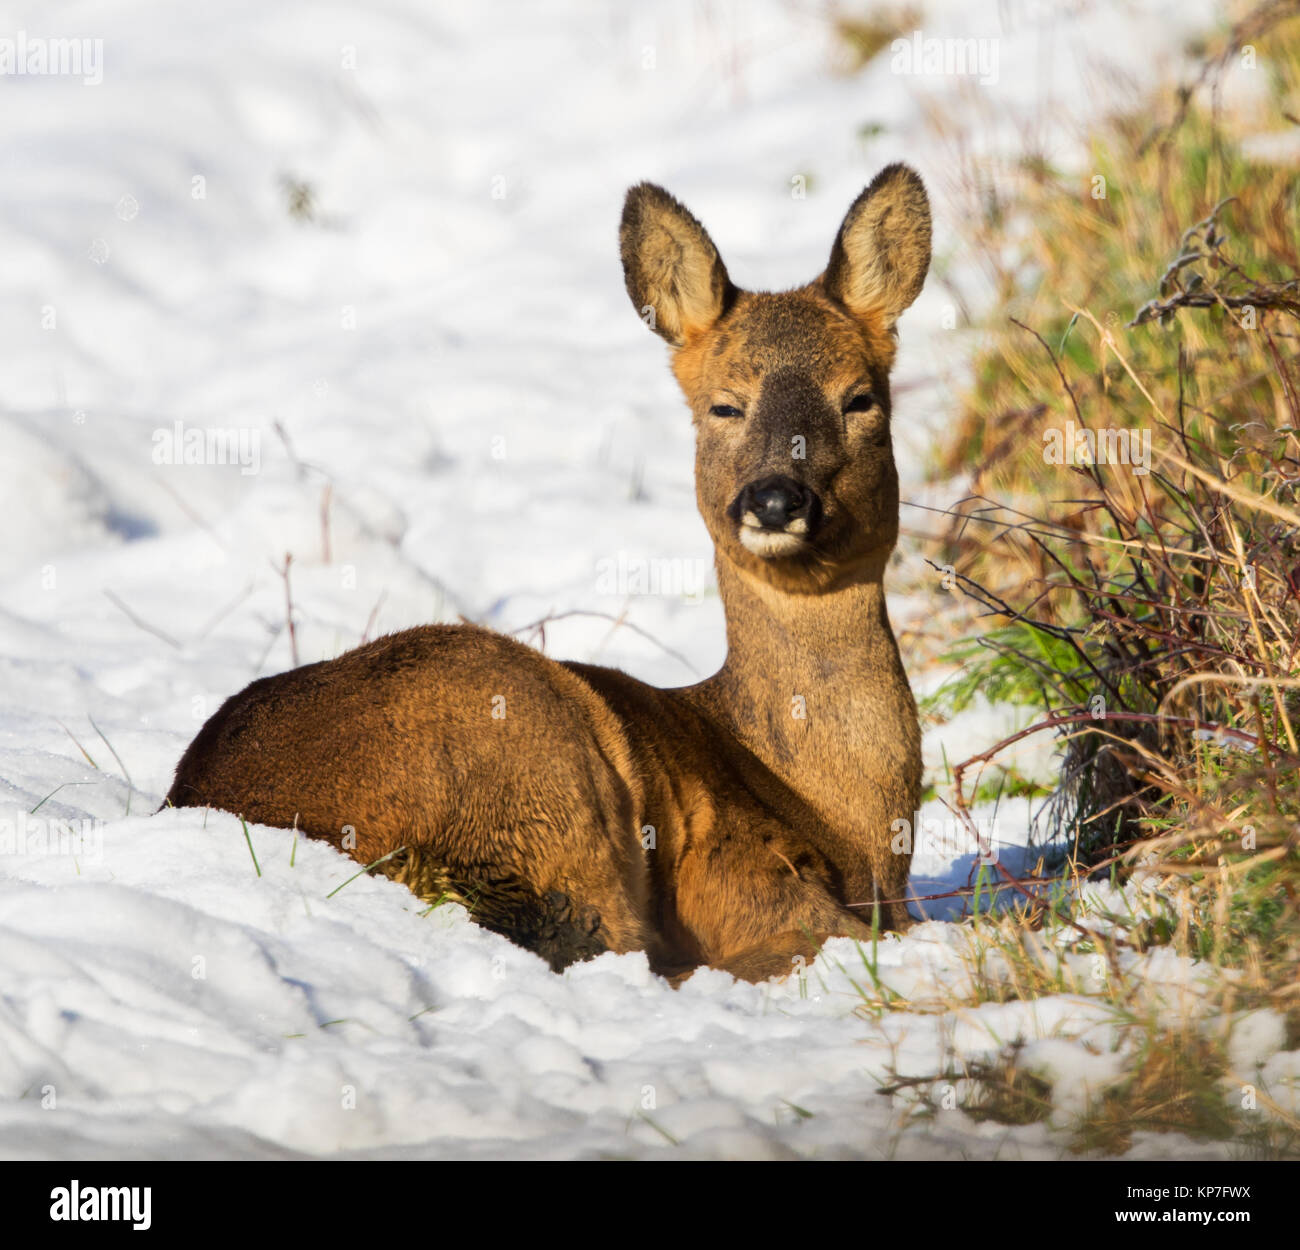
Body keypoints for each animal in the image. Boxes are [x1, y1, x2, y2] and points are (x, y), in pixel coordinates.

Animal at [165, 163, 931, 984]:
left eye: (860, 398)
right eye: (724, 406)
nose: (776, 498)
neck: (836, 817)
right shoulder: (736, 866)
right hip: (536, 770)